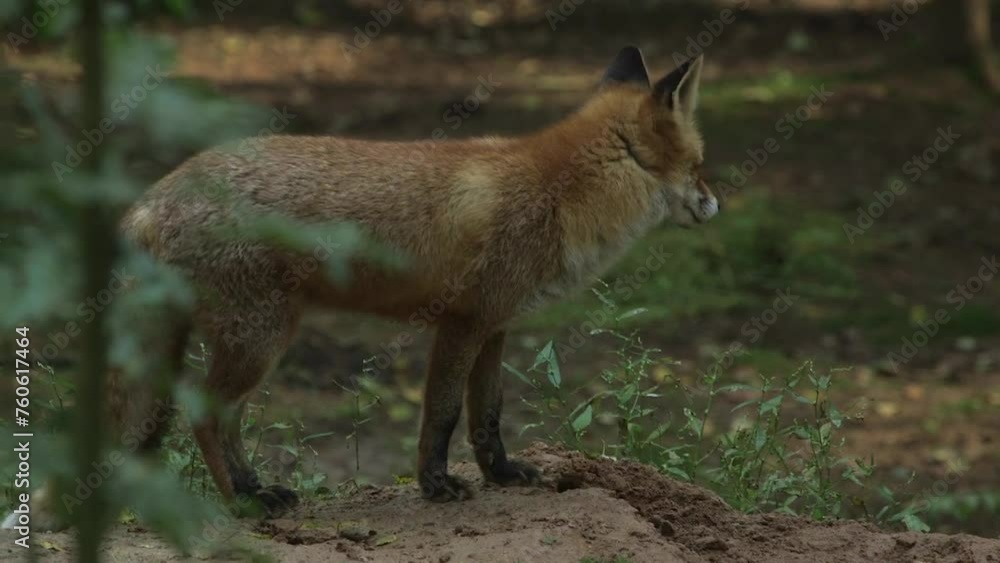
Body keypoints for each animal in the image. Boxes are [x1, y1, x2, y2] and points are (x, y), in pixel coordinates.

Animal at [6, 46, 718, 530]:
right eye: (702, 164)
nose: (719, 203)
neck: (561, 189)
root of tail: (152, 196)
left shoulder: (495, 324)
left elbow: (488, 416)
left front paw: (504, 475)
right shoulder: (459, 324)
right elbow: (442, 415)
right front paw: (436, 486)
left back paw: (248, 491)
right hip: (261, 340)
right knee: (205, 413)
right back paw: (245, 501)